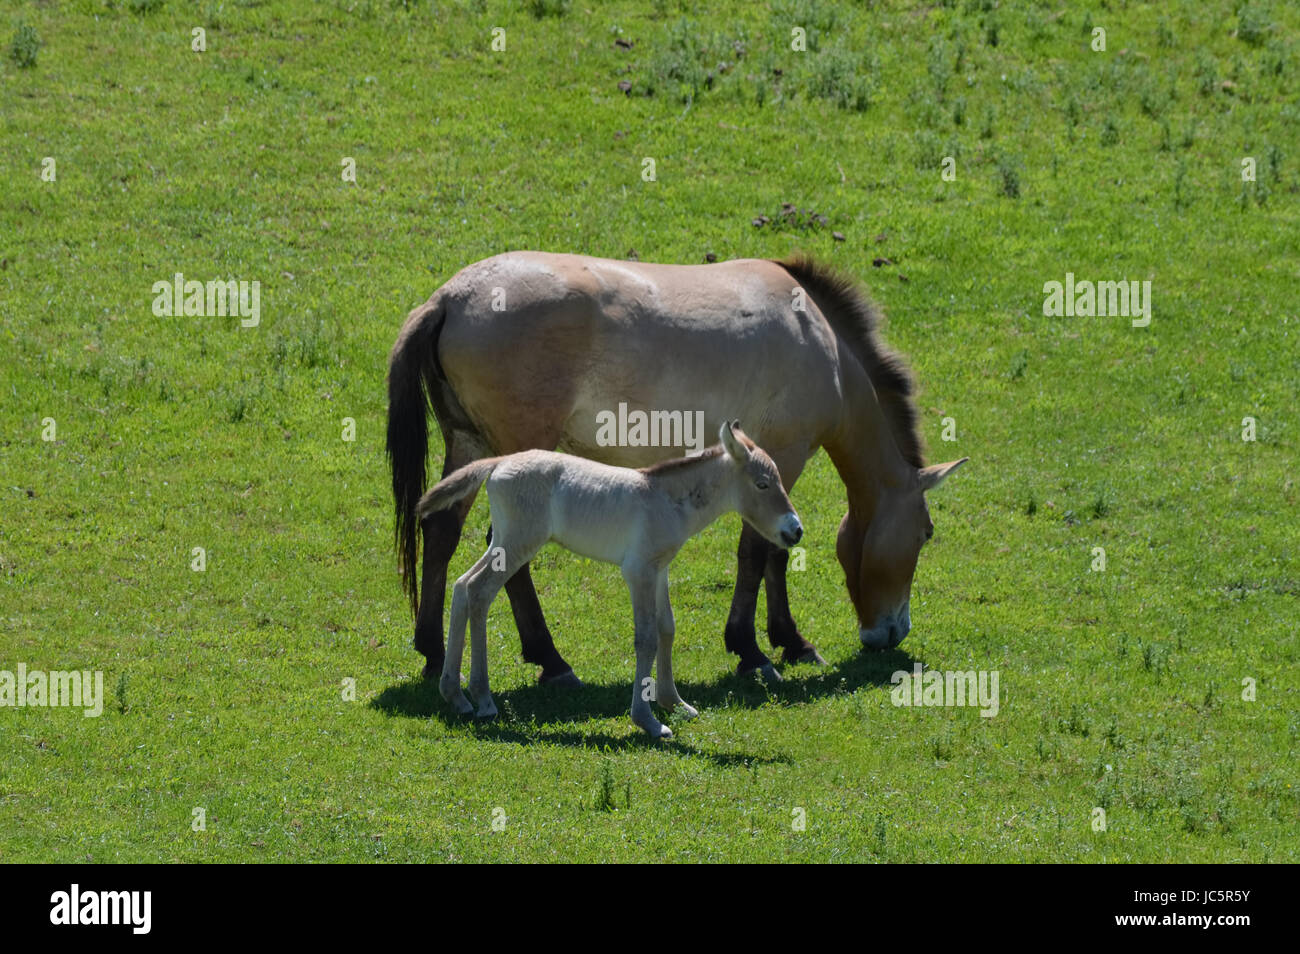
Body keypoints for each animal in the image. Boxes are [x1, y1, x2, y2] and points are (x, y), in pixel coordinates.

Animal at [387, 251, 967, 685]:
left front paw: (786, 642)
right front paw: (757, 648)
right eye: (926, 533)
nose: (892, 631)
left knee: (441, 531)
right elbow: (762, 551)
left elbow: (772, 551)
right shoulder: (782, 458)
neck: (818, 337)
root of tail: (450, 298)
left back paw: (433, 651)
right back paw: (551, 661)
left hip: (468, 446)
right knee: (507, 554)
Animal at [416, 421, 801, 738]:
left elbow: (667, 629)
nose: (794, 531)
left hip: (504, 542)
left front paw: (674, 702)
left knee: (463, 586)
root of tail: (498, 463)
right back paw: (482, 700)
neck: (667, 500)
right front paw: (648, 721)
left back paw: (456, 696)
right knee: (479, 592)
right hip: (517, 542)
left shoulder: (659, 569)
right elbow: (646, 638)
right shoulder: (638, 571)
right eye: (762, 484)